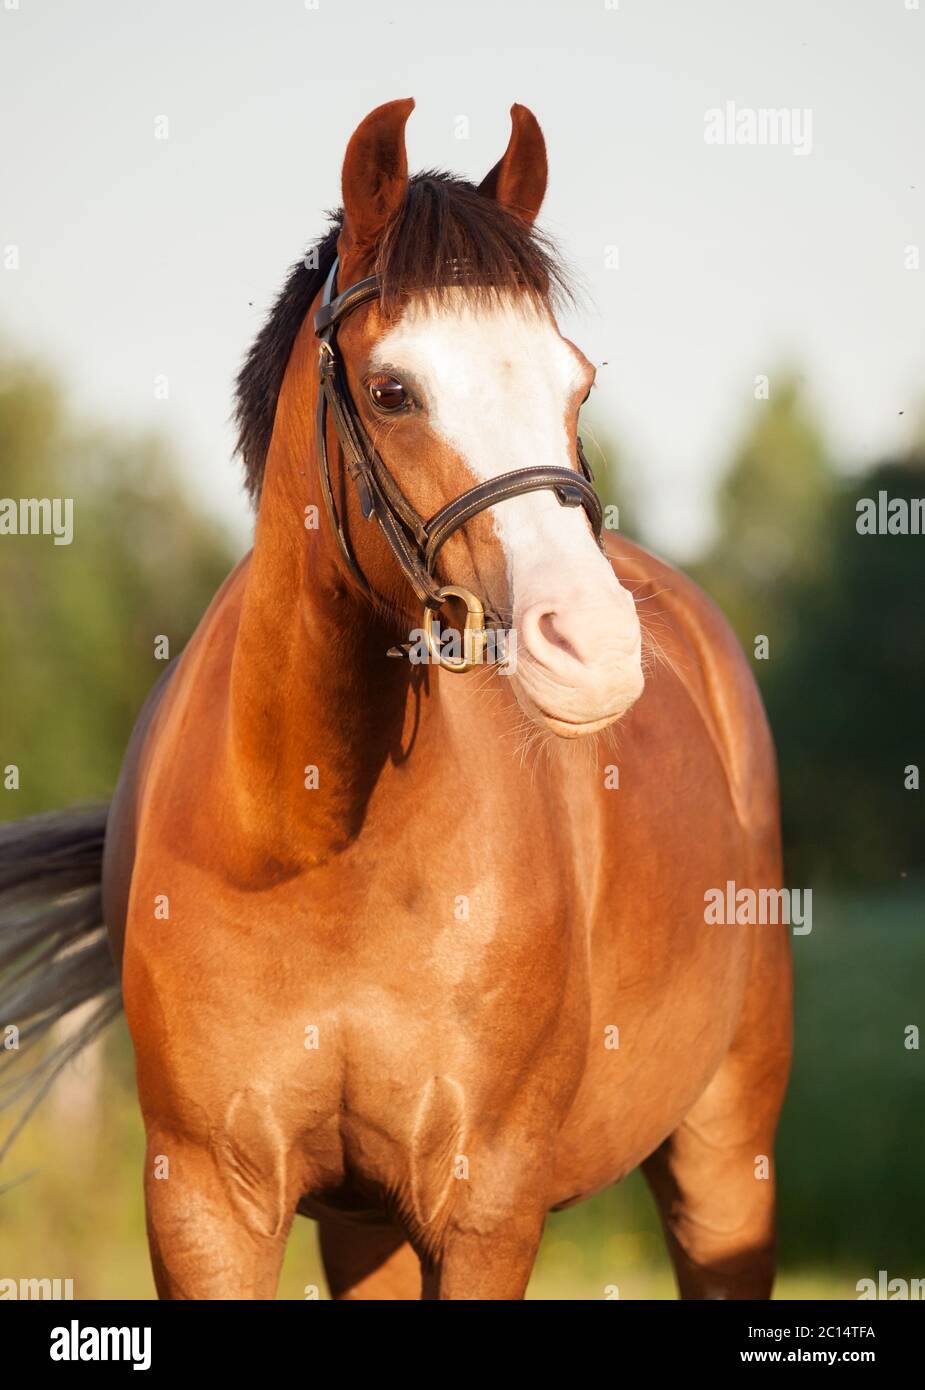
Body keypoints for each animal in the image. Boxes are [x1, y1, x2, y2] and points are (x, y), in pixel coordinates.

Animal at [0, 99, 792, 1300]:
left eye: (575, 382)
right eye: (392, 391)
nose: (594, 644)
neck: (307, 836)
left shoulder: (486, 1208)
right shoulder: (206, 1206)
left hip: (723, 1160)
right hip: (362, 1226)